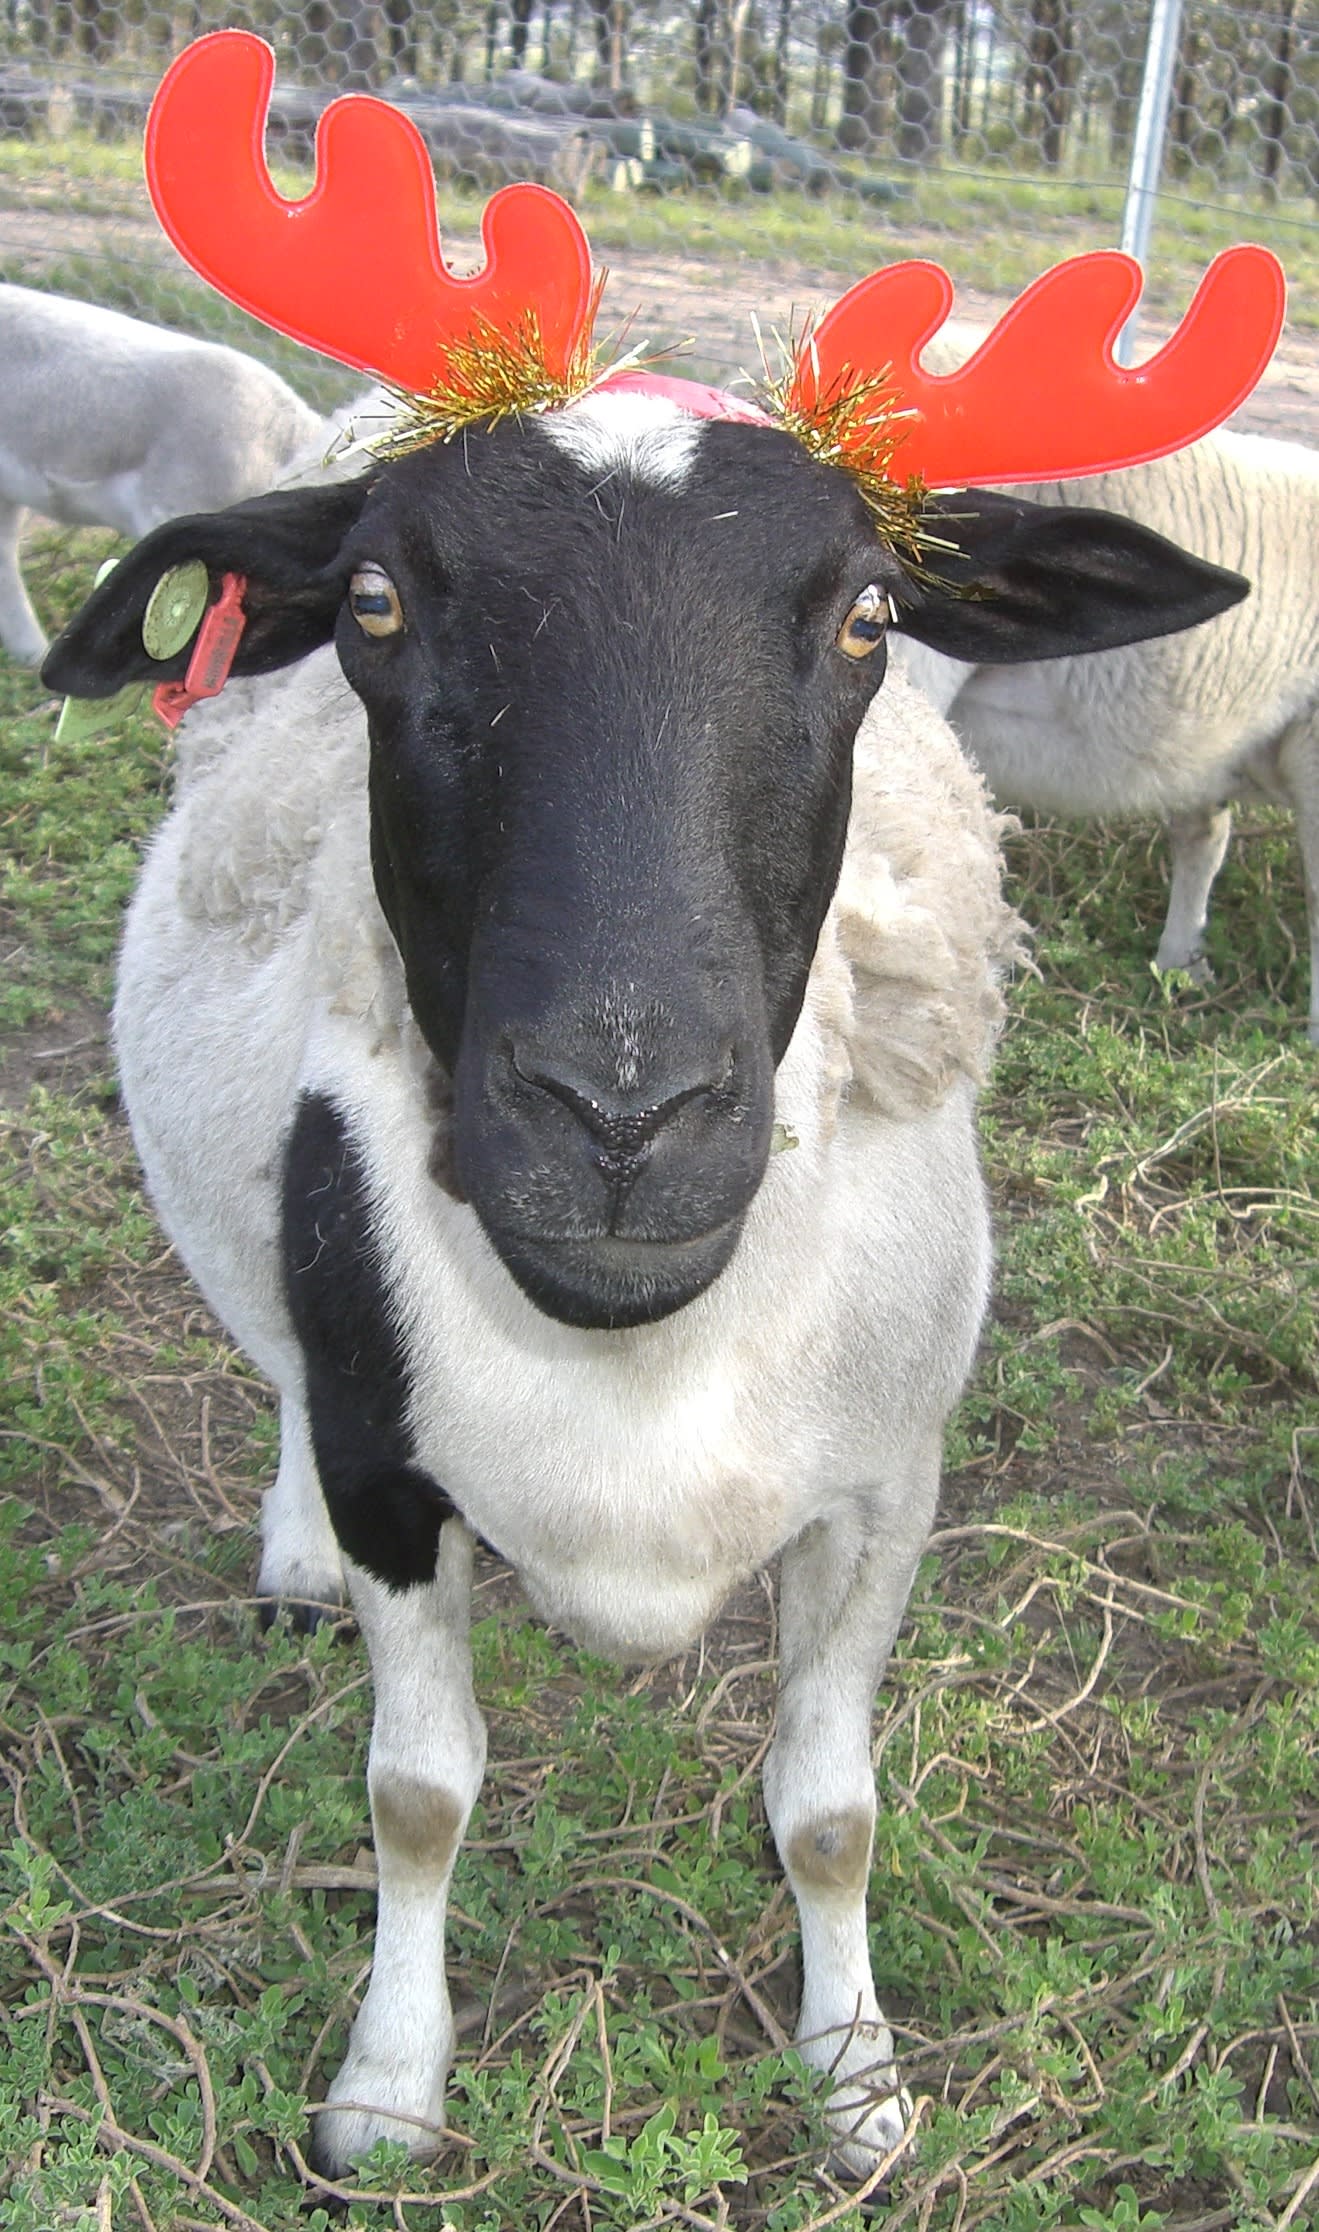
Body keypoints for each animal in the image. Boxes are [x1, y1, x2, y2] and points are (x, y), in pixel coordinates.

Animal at [42, 383, 1251, 2181]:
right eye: (375, 601)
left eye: (869, 614)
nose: (620, 1116)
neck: (634, 1359)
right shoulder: (390, 1465)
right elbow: (417, 1796)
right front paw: (386, 2092)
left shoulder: (884, 1487)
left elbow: (828, 1817)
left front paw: (857, 2085)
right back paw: (291, 1552)